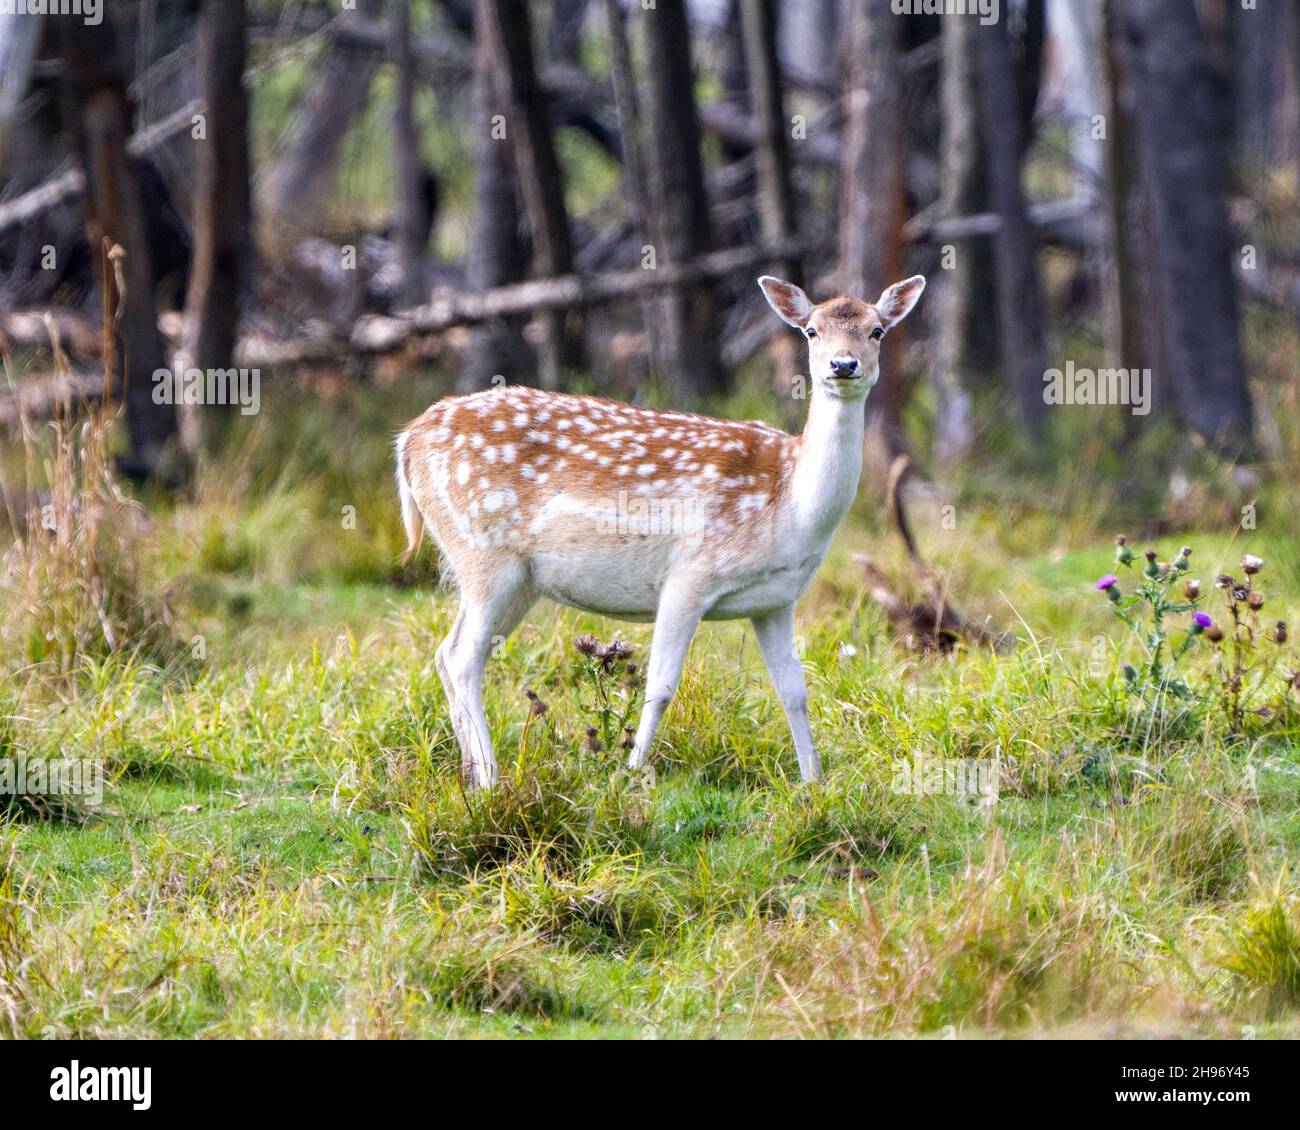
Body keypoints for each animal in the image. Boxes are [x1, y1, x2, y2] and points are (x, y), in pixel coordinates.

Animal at [395, 273, 926, 789]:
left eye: (877, 330)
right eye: (812, 331)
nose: (843, 364)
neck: (790, 505)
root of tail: (407, 440)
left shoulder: (776, 600)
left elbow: (793, 691)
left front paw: (813, 782)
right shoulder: (690, 575)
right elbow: (661, 686)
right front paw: (631, 775)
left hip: (520, 580)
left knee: (448, 654)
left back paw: (470, 774)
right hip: (483, 552)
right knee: (461, 656)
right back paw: (489, 779)